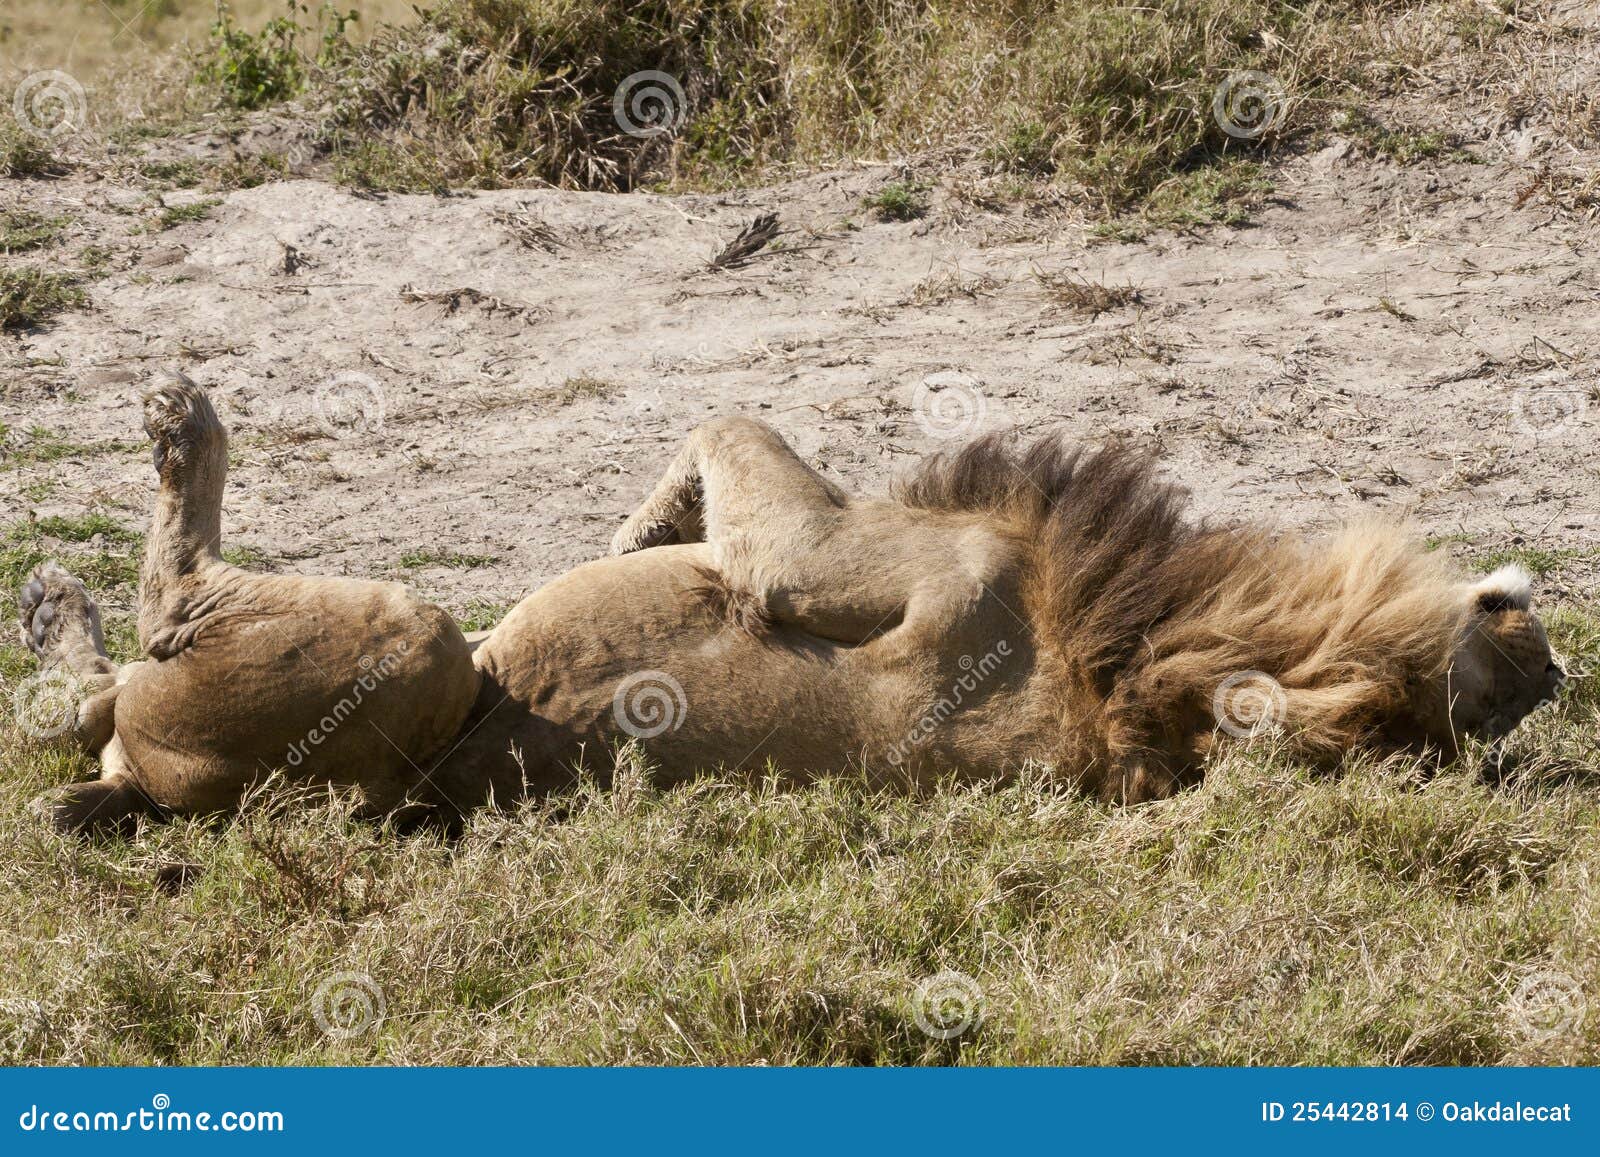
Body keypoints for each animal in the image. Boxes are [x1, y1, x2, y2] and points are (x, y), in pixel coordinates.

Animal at [16, 380, 1565, 833]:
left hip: (411, 640)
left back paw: (171, 443)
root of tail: (150, 791)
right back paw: (54, 609)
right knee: (73, 706)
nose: (1547, 668)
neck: (1126, 656)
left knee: (161, 609)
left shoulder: (816, 553)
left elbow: (724, 426)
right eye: (1469, 707)